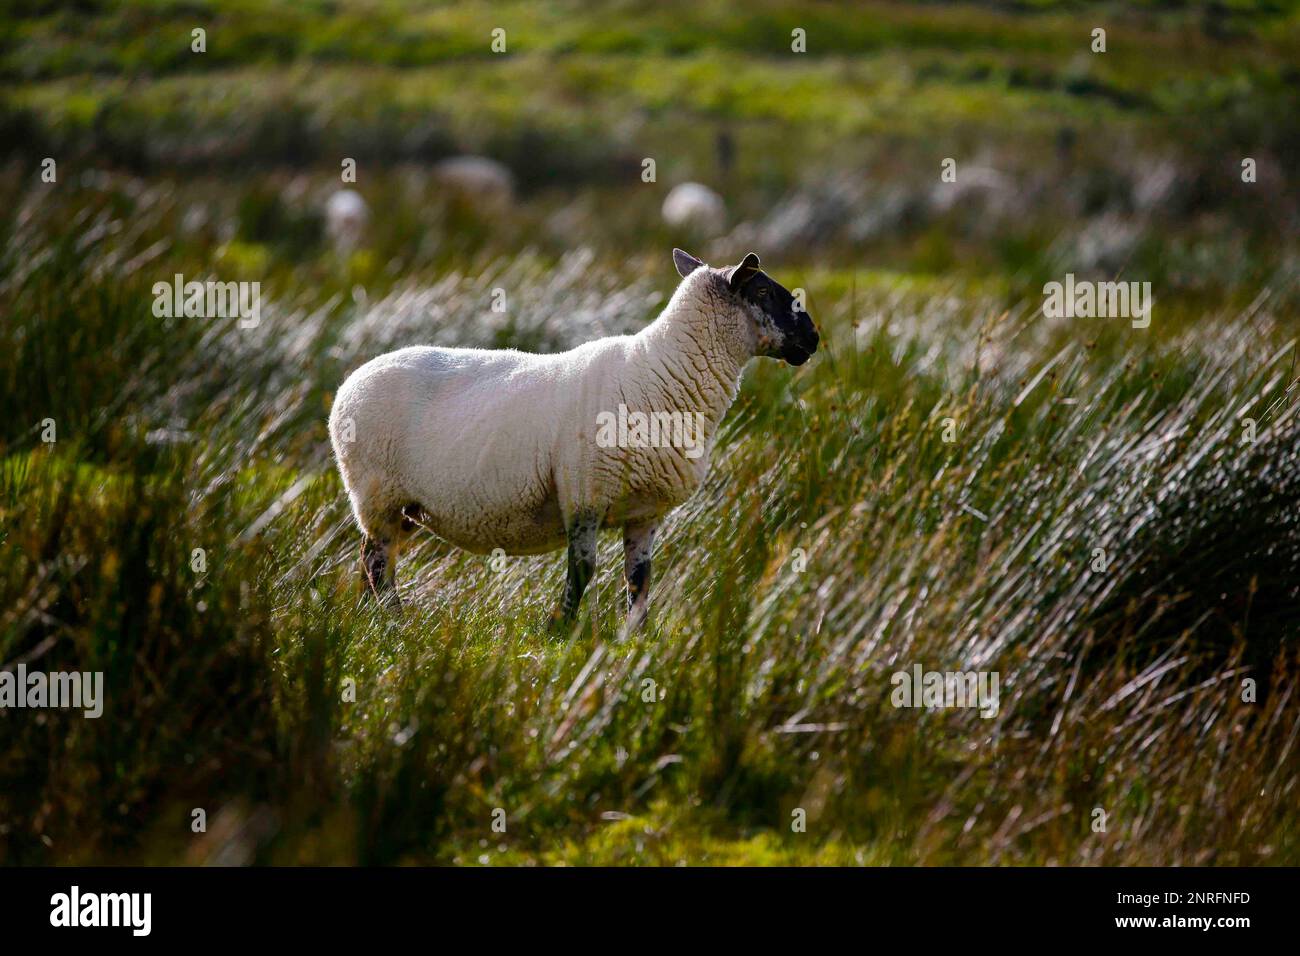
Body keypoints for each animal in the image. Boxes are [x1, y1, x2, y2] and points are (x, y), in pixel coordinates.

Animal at [328, 249, 819, 628]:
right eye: (762, 291)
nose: (814, 338)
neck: (663, 371)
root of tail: (348, 384)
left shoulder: (645, 511)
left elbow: (639, 579)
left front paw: (634, 638)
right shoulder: (585, 491)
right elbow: (581, 571)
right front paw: (558, 630)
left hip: (400, 506)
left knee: (370, 563)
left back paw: (375, 623)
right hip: (376, 494)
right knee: (376, 564)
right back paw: (395, 623)